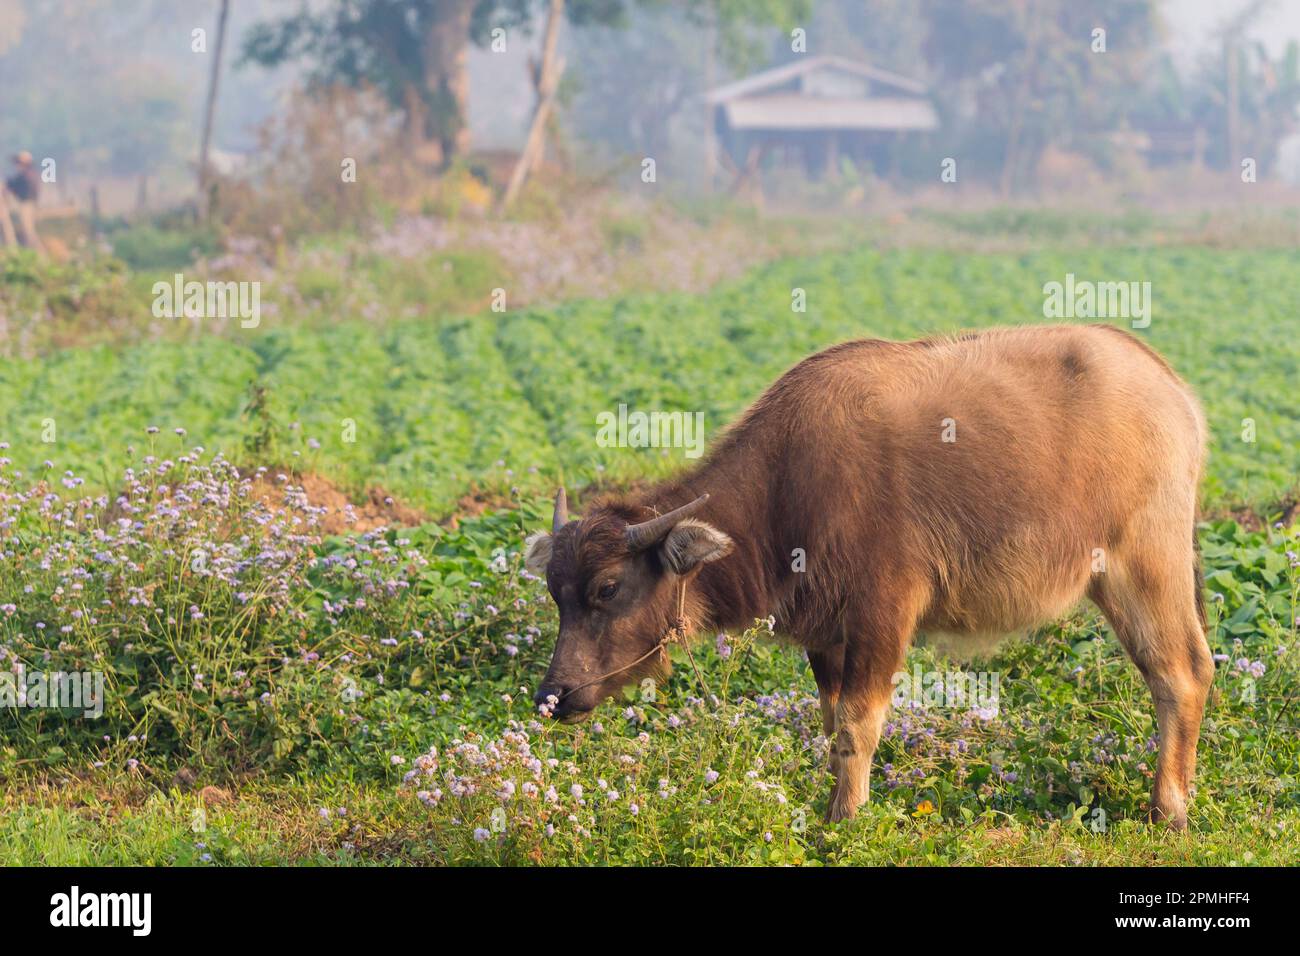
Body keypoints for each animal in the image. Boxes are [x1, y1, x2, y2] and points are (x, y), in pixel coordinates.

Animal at [525, 324, 1212, 829]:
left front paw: (847, 819)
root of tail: (1175, 394)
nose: (552, 696)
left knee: (1182, 672)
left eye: (608, 588)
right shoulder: (826, 634)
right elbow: (832, 722)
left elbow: (860, 722)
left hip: (1145, 565)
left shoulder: (884, 610)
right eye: (556, 594)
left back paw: (1168, 810)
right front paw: (831, 805)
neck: (785, 491)